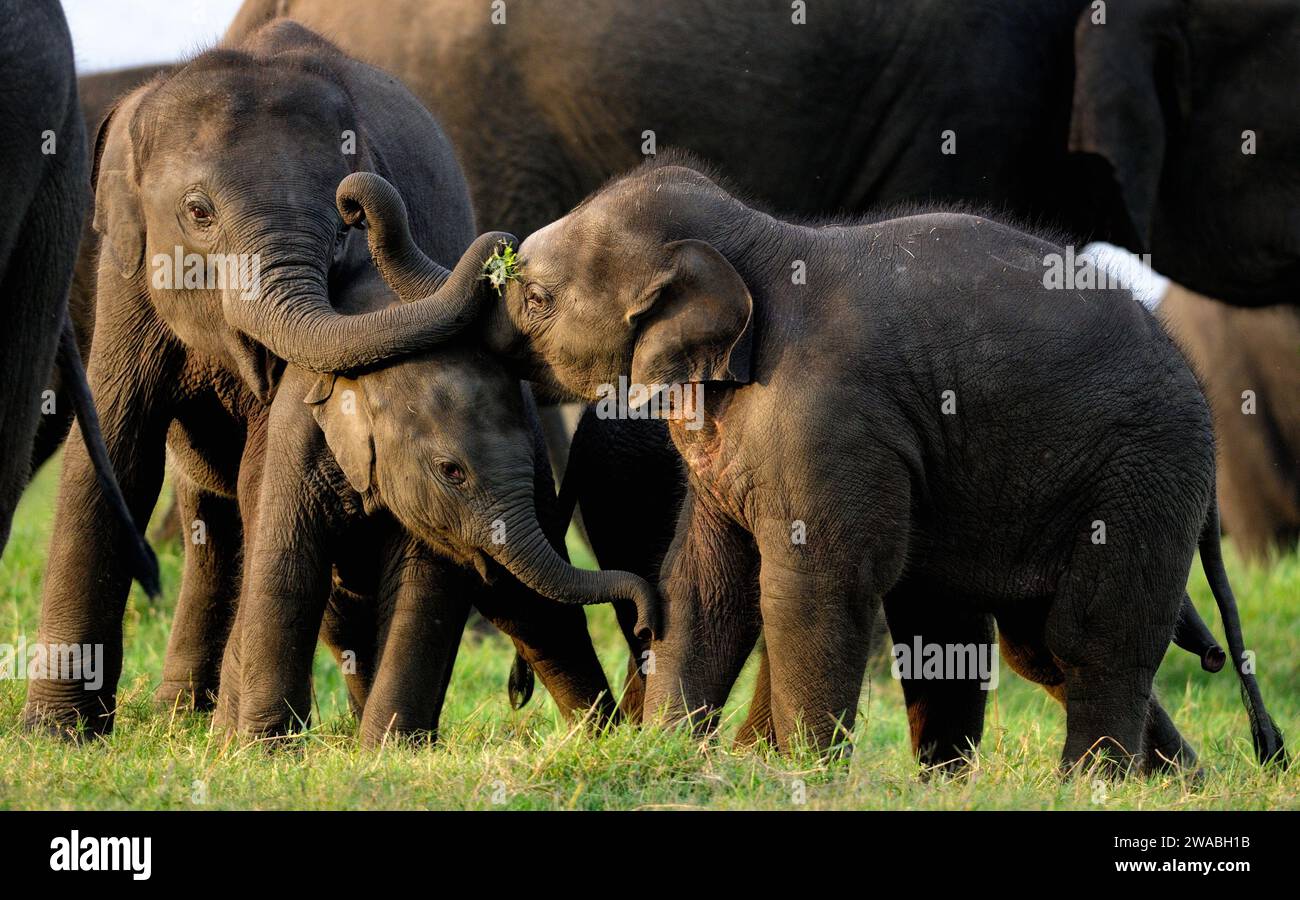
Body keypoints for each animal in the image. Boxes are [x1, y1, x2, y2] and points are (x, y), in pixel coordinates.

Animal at [22, 20, 513, 736]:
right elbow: (115, 449)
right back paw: (180, 717)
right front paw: (57, 734)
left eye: (340, 226)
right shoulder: (125, 273)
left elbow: (266, 470)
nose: (359, 201)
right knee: (207, 516)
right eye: (198, 211)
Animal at [349, 157, 1286, 775]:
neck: (757, 236)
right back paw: (1177, 780)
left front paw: (793, 774)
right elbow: (706, 578)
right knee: (1035, 645)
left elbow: (815, 579)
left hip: (1142, 473)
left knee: (1091, 637)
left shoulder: (826, 416)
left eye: (537, 298)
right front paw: (676, 759)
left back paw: (1092, 782)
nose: (352, 203)